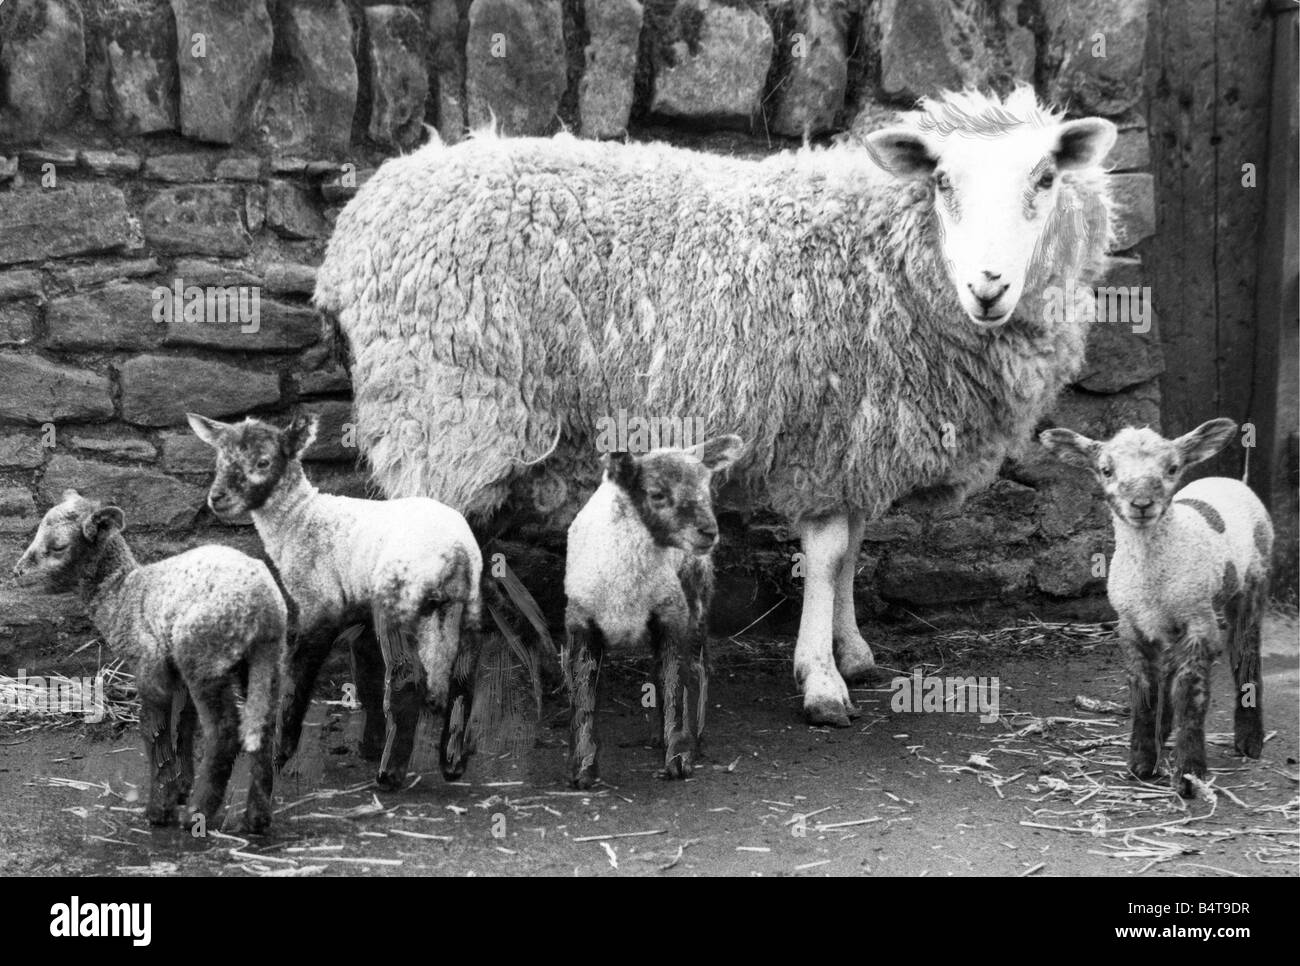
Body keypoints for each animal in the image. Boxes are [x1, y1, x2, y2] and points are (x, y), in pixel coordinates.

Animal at [11, 490, 285, 833]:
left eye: (59, 546)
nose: (17, 573)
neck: (121, 593)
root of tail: (260, 602)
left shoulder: (149, 665)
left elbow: (153, 729)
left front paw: (160, 806)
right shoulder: (175, 668)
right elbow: (184, 723)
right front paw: (181, 786)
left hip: (203, 655)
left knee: (223, 731)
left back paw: (198, 812)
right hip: (264, 657)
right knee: (264, 724)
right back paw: (256, 817)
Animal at [186, 412, 483, 790]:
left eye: (263, 462)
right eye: (219, 459)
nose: (217, 499)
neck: (300, 519)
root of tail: (456, 551)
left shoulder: (319, 604)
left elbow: (296, 676)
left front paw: (279, 752)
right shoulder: (360, 610)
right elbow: (368, 676)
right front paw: (370, 744)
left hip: (397, 595)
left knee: (406, 679)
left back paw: (390, 775)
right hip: (468, 603)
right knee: (463, 677)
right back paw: (452, 762)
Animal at [314, 85, 1117, 727]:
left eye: (1046, 177)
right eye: (944, 181)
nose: (990, 286)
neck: (882, 248)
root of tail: (360, 221)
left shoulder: (858, 436)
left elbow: (856, 545)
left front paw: (853, 649)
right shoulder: (824, 432)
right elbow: (827, 553)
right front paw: (820, 680)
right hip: (444, 406)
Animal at [564, 435, 743, 788]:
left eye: (706, 490)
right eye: (657, 493)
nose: (709, 532)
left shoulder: (672, 615)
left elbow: (675, 683)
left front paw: (679, 757)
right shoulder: (582, 621)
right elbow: (584, 694)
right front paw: (584, 769)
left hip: (695, 594)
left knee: (698, 666)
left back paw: (694, 736)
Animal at [1039, 419, 1272, 796]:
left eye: (1172, 468)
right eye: (1106, 469)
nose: (1142, 504)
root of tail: (1233, 480)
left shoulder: (1198, 622)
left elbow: (1189, 695)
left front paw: (1189, 775)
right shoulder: (1131, 625)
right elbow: (1144, 689)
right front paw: (1142, 763)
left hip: (1253, 581)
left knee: (1246, 653)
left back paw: (1250, 741)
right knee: (1169, 671)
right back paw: (1164, 735)